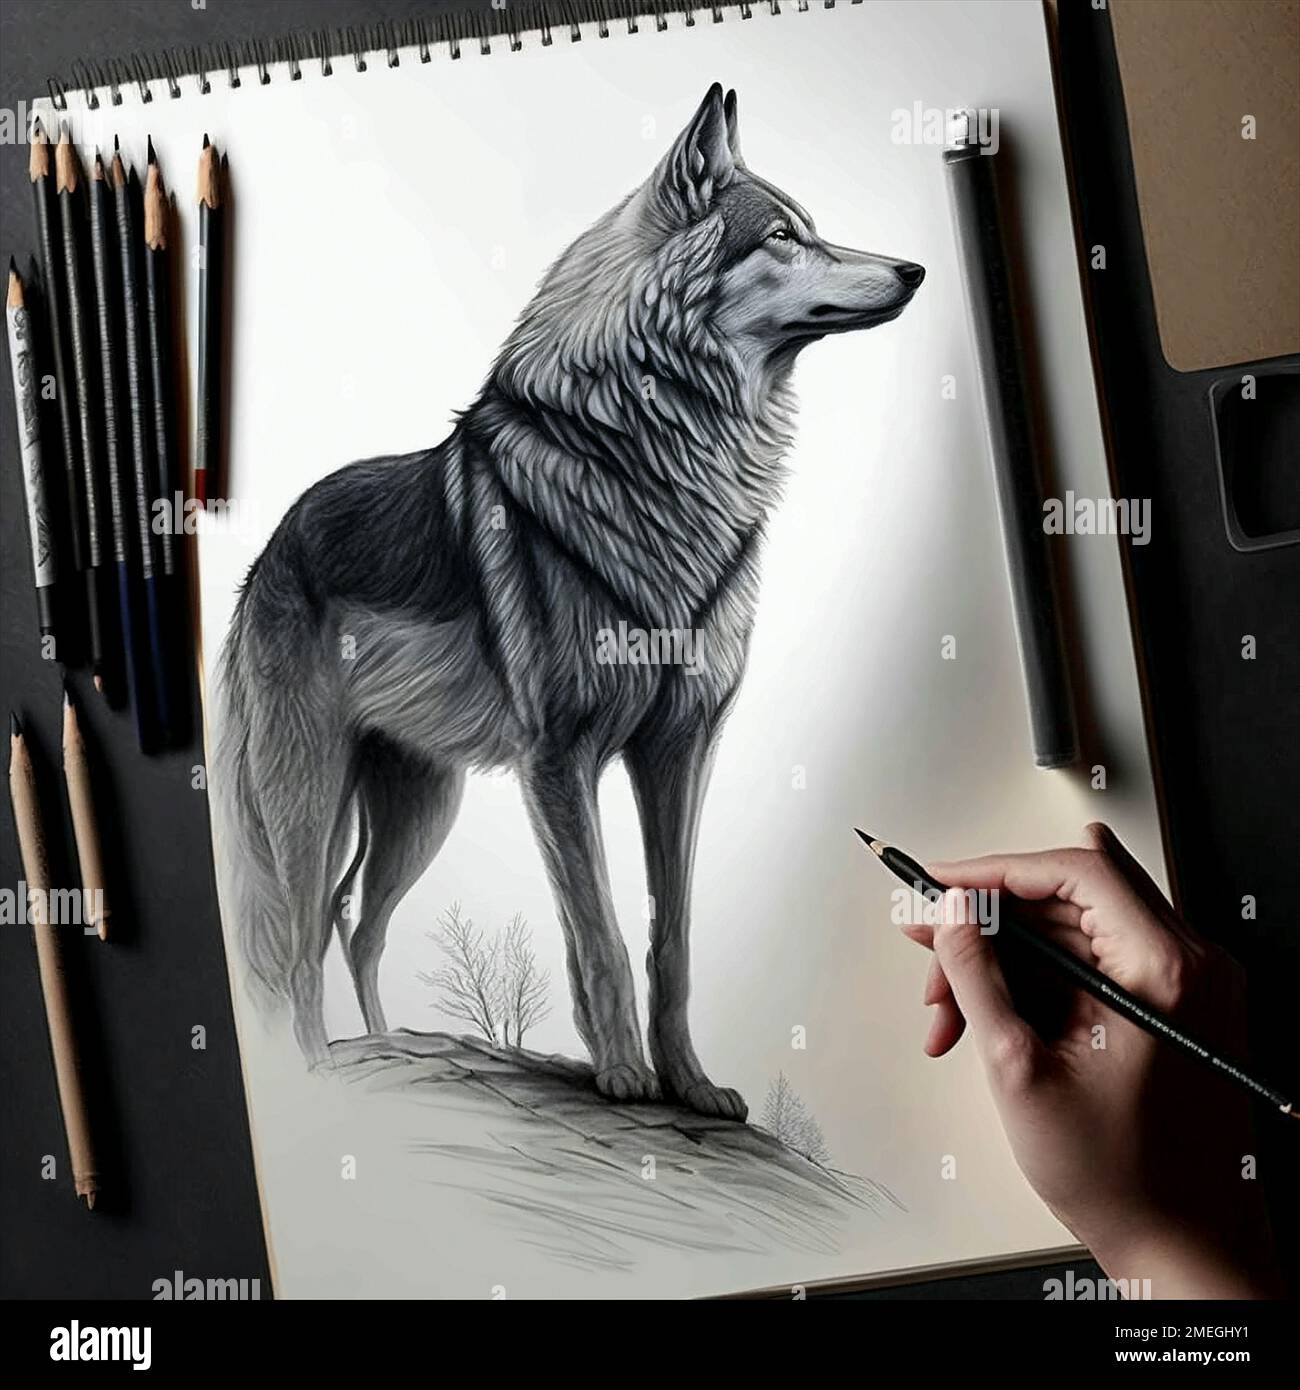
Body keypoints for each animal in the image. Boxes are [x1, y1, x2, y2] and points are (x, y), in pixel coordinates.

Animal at [216, 84, 923, 1119]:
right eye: (784, 236)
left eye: (813, 229)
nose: (915, 269)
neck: (660, 451)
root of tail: (268, 550)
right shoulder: (561, 760)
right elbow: (600, 935)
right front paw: (625, 1076)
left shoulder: (681, 751)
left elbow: (673, 939)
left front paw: (691, 1084)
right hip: (309, 801)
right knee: (302, 940)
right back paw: (320, 1078)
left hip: (420, 813)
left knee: (355, 925)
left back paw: (381, 1049)